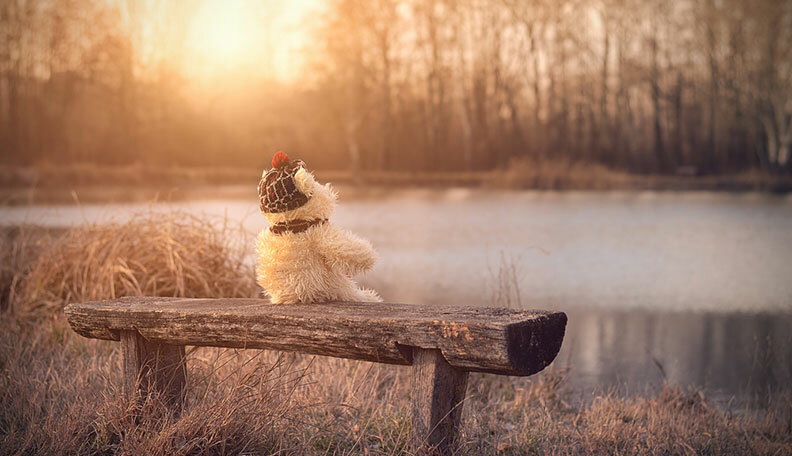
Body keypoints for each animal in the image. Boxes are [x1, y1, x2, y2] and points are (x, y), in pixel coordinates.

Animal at [255, 151, 382, 304]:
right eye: (315, 185)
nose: (329, 190)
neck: (289, 224)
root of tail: (299, 296)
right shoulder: (318, 230)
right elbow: (345, 248)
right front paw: (369, 254)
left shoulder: (267, 240)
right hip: (338, 287)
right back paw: (370, 297)